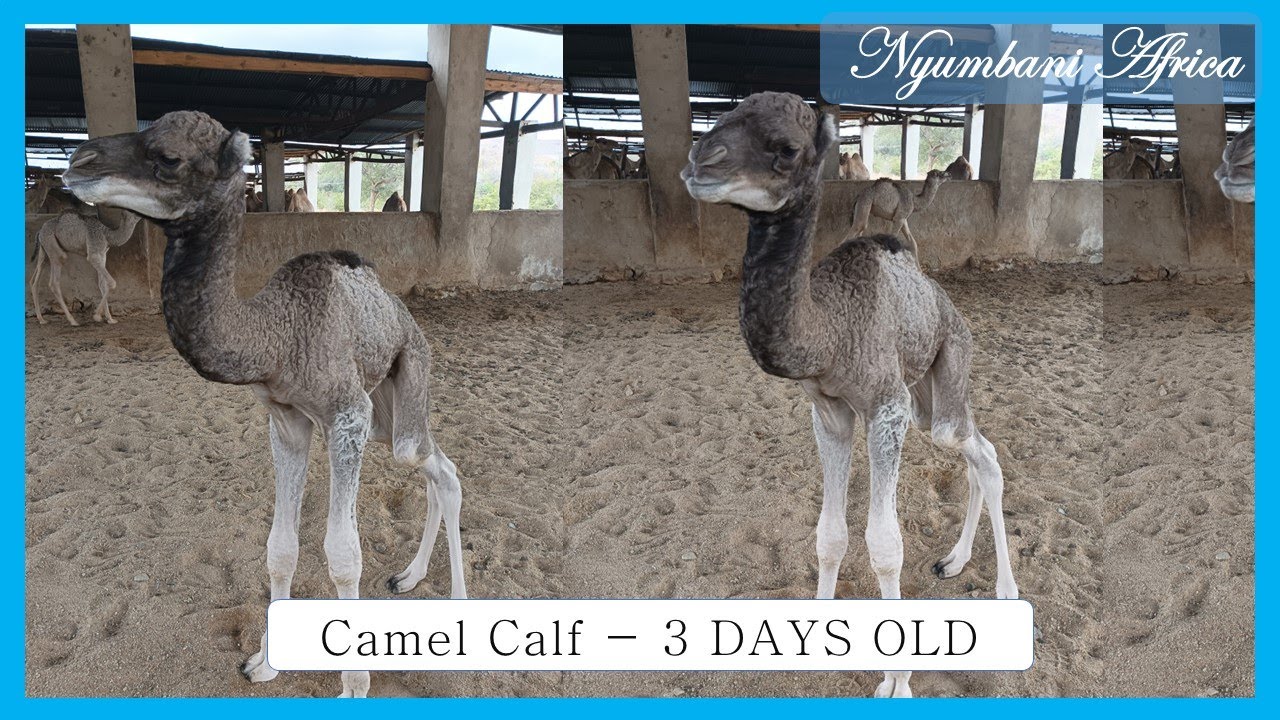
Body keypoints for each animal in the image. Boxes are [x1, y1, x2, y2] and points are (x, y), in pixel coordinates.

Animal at [62, 111, 466, 698]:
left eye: (169, 156)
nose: (77, 163)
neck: (278, 335)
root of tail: (401, 311)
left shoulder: (346, 416)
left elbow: (342, 553)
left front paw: (353, 684)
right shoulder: (287, 420)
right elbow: (281, 546)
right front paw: (265, 661)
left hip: (408, 372)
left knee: (435, 465)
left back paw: (457, 602)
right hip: (385, 411)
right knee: (433, 465)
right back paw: (409, 577)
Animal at [681, 92, 1017, 698]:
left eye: (786, 148)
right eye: (717, 120)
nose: (701, 163)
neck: (831, 328)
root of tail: (946, 304)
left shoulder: (885, 406)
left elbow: (884, 543)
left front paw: (898, 683)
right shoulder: (830, 411)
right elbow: (829, 533)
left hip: (947, 366)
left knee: (984, 452)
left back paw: (1004, 591)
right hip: (925, 399)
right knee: (975, 450)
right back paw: (953, 562)